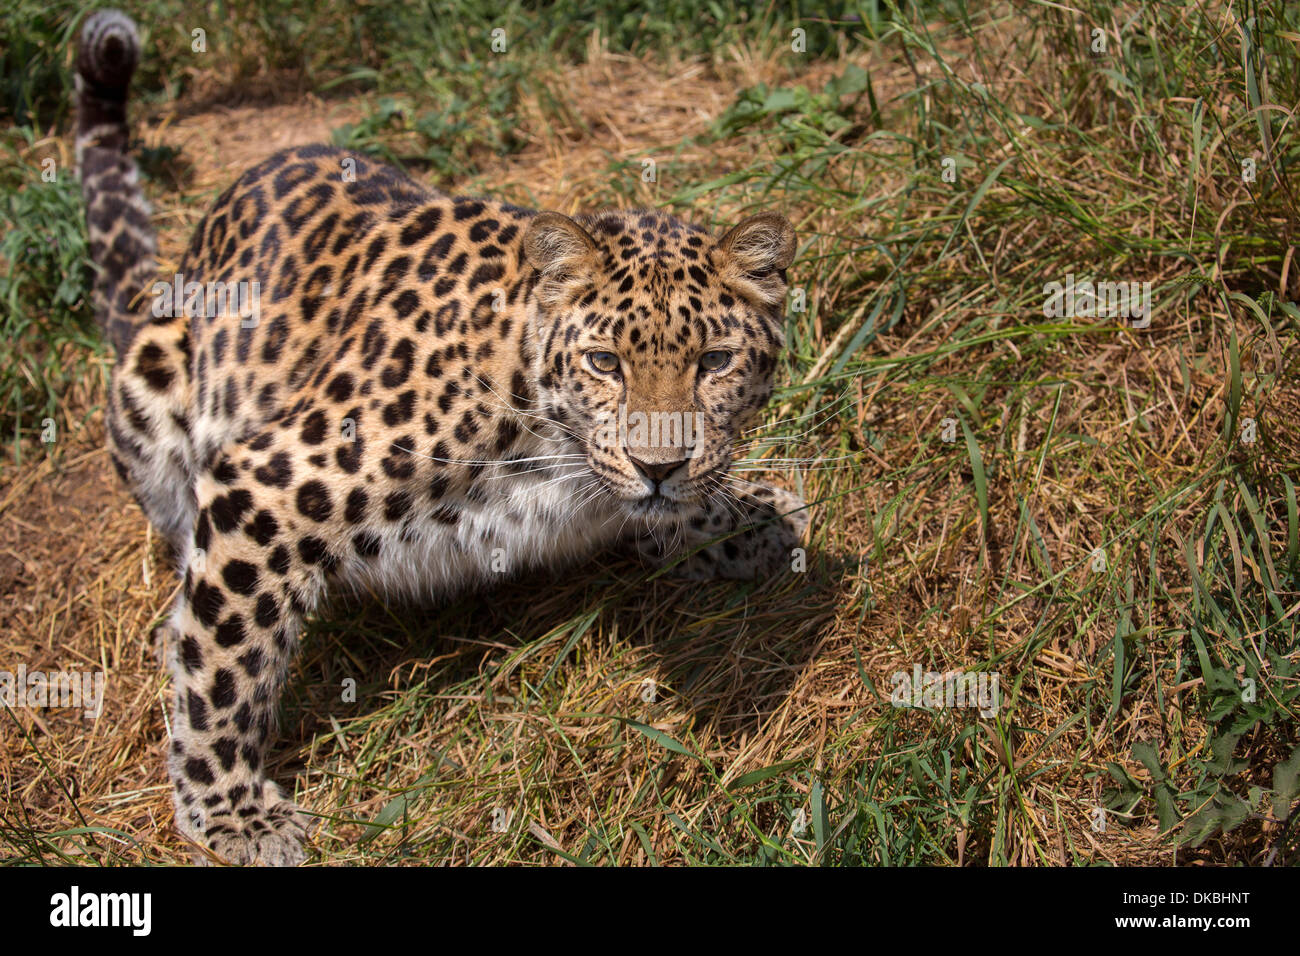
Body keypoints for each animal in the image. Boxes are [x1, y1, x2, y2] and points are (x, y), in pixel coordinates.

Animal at [74, 9, 810, 865]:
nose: (658, 466)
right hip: (155, 377)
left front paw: (752, 518)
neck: (553, 452)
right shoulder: (264, 483)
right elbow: (223, 664)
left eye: (715, 362)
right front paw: (230, 809)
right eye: (605, 362)